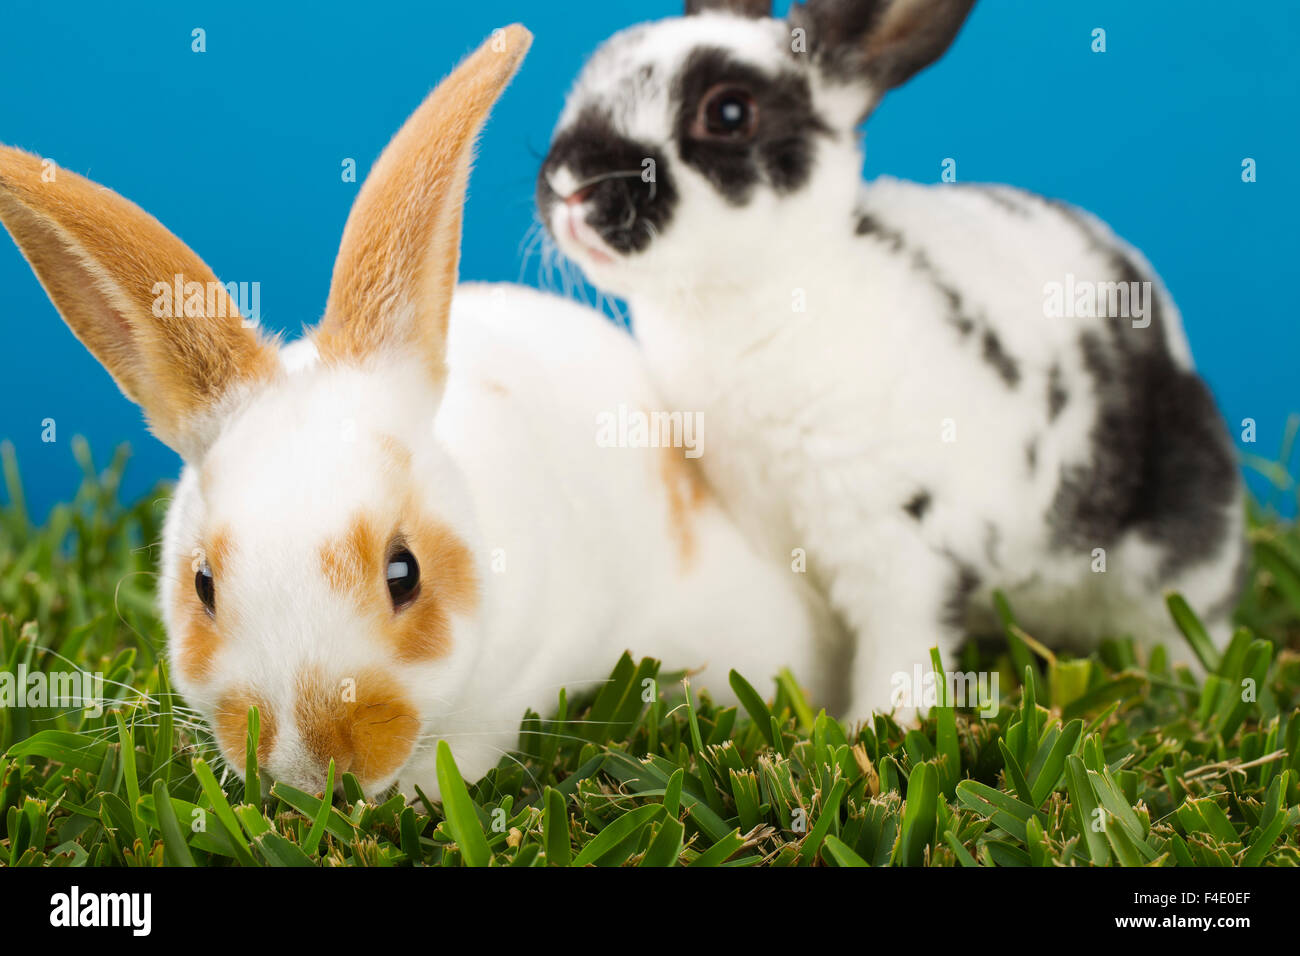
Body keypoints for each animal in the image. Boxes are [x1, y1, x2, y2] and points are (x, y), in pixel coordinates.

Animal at [536, 0, 1247, 720]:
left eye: (729, 112)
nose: (569, 185)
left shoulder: (907, 546)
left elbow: (905, 646)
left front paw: (882, 724)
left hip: (1183, 552)